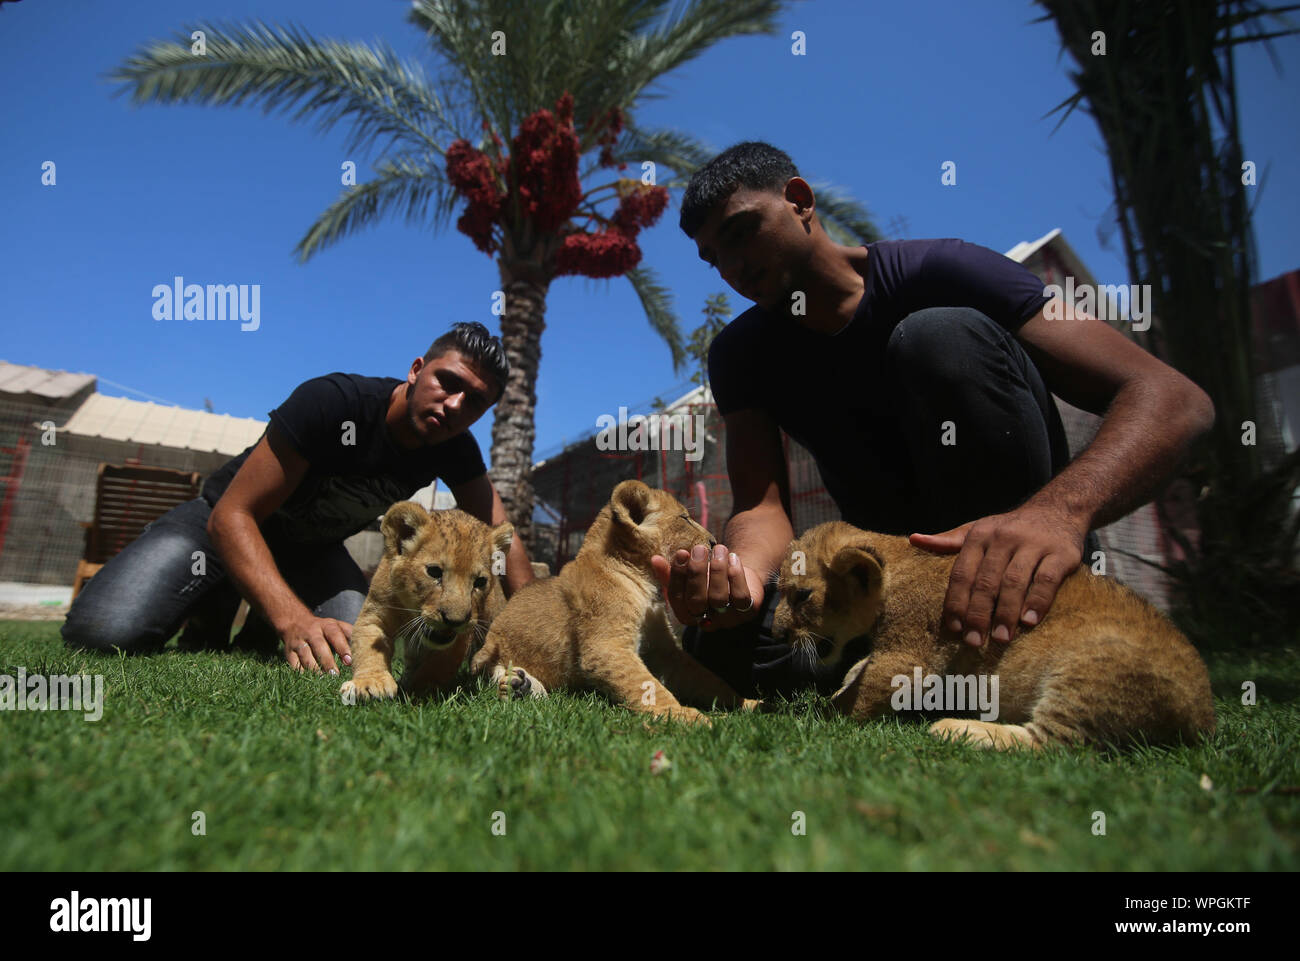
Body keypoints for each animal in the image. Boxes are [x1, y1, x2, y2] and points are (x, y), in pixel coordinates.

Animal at [340, 502, 513, 702]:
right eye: (434, 572)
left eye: (479, 582)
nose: (454, 621)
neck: (411, 610)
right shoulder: (375, 612)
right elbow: (367, 647)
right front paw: (370, 683)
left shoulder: (459, 638)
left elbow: (436, 667)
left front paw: (417, 694)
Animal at [470, 479, 759, 725]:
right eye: (685, 518)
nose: (714, 541)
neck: (646, 583)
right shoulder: (606, 647)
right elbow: (646, 686)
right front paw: (683, 716)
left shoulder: (666, 652)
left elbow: (707, 679)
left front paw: (749, 704)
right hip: (489, 655)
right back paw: (516, 687)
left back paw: (523, 687)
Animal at [772, 521, 1216, 750]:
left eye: (801, 595)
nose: (777, 633)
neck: (898, 562)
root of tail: (1202, 717)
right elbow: (860, 670)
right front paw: (842, 684)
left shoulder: (911, 652)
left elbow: (862, 695)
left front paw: (819, 716)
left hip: (1092, 668)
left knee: (1050, 743)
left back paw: (955, 728)